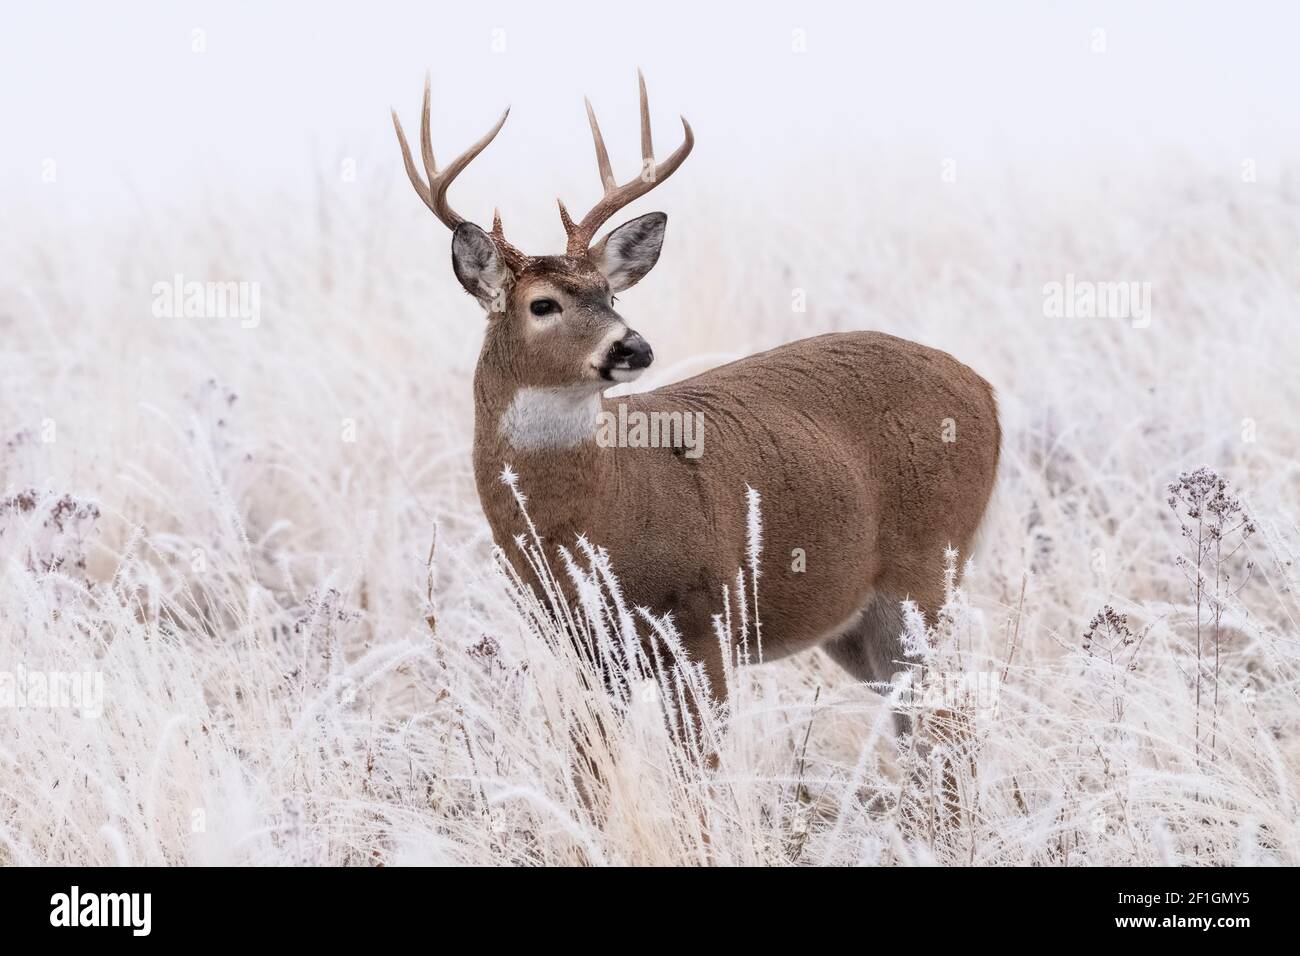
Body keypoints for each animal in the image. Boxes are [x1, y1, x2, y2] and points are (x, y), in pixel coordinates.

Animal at [392, 72, 1001, 740]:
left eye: (609, 294)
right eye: (543, 304)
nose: (633, 345)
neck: (597, 511)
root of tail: (986, 391)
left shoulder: (703, 616)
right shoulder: (580, 645)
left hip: (927, 568)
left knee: (949, 719)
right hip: (850, 616)